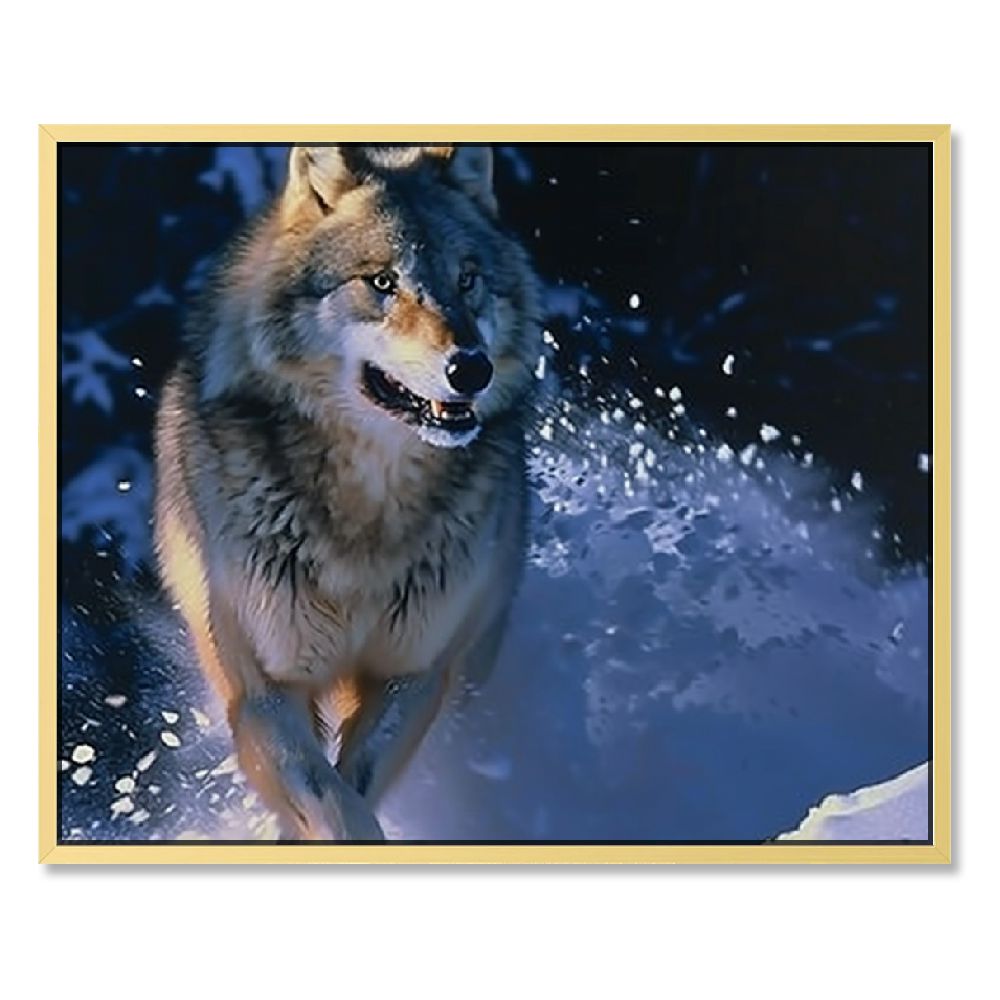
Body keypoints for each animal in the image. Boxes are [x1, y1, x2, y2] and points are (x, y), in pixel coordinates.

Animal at [154, 144, 542, 840]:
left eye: (467, 279)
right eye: (382, 282)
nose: (471, 367)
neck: (366, 509)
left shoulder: (411, 676)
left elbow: (353, 784)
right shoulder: (262, 691)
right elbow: (330, 799)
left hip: (473, 664)